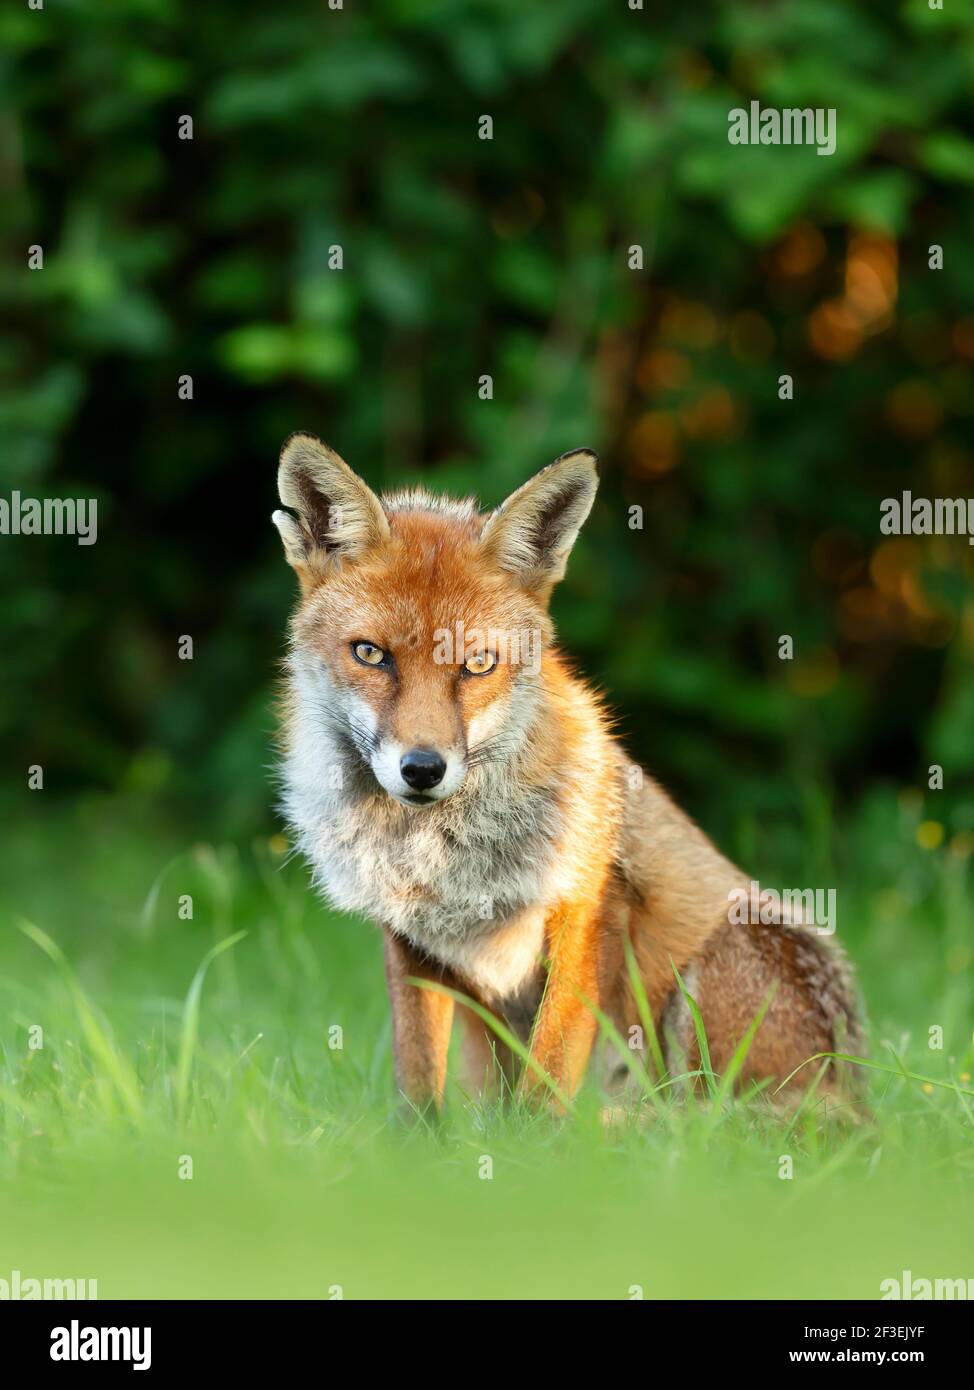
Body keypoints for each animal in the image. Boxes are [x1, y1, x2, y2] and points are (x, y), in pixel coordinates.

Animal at [272, 433, 864, 1114]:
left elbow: (547, 1075)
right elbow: (419, 1086)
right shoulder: (412, 941)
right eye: (370, 654)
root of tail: (861, 1101)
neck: (438, 854)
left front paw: (541, 1144)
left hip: (715, 974)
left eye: (478, 664)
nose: (422, 769)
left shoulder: (589, 911)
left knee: (706, 1120)